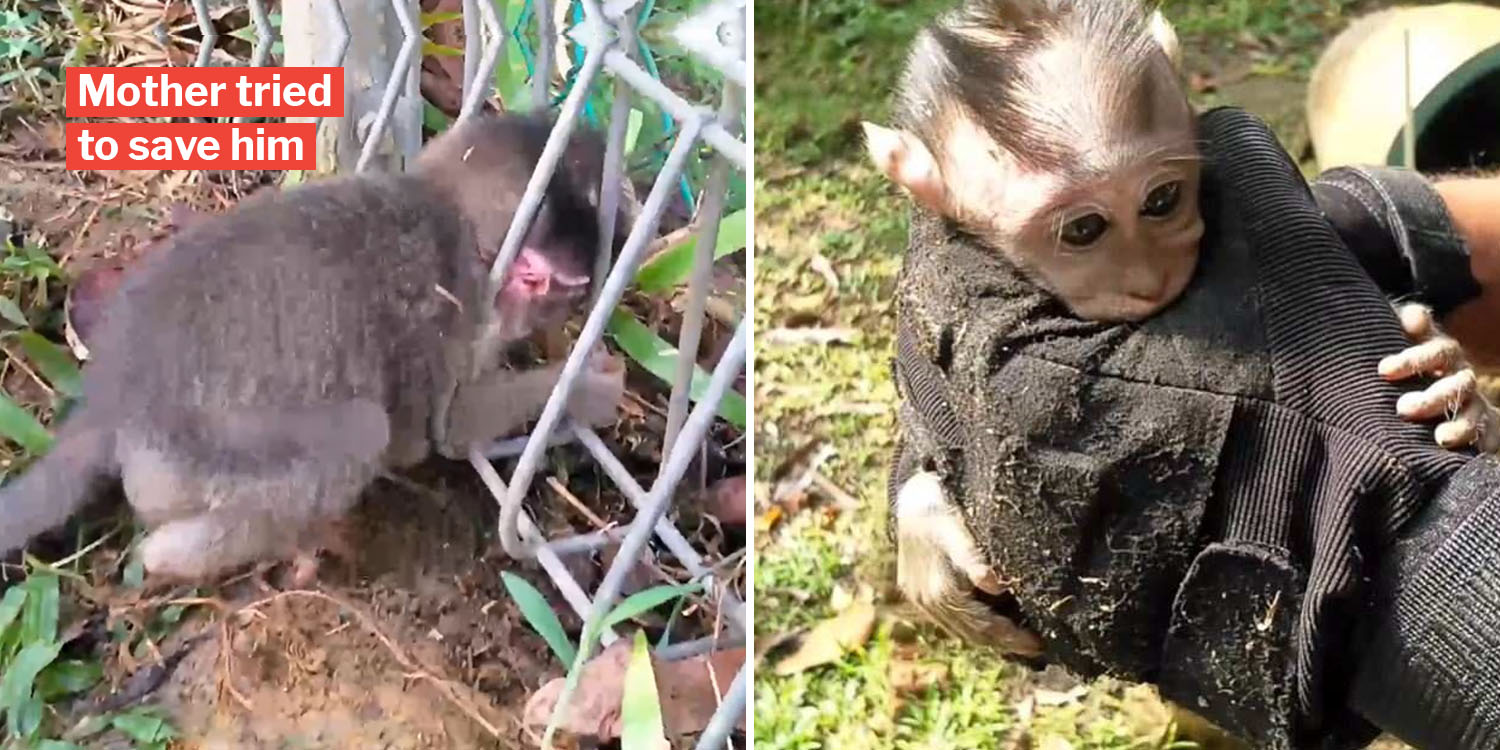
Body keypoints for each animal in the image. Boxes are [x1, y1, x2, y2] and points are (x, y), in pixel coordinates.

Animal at [0, 111, 627, 582]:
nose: (584, 300)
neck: (448, 209)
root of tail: (113, 395)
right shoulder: (446, 320)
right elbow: (446, 432)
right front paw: (586, 389)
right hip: (198, 458)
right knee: (362, 430)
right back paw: (191, 556)